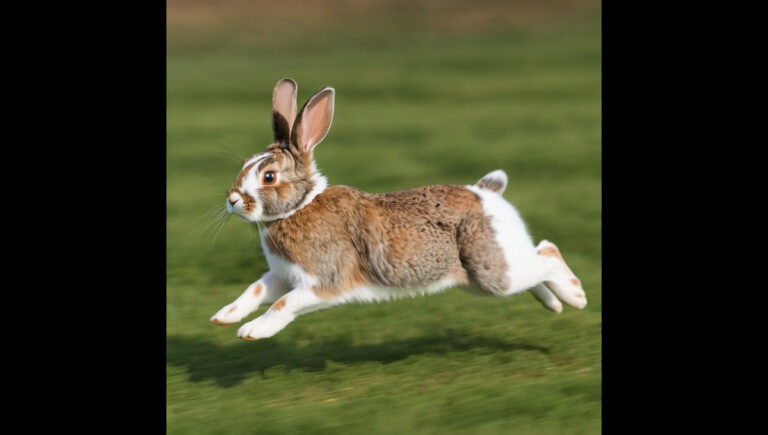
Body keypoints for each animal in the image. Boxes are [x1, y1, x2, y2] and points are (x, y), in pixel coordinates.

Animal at [210, 78, 587, 340]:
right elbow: (256, 290)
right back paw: (555, 304)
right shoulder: (283, 275)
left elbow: (282, 304)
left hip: (492, 272)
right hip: (485, 277)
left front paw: (250, 332)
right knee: (536, 265)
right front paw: (223, 316)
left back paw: (577, 298)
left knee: (548, 254)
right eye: (244, 164)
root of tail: (487, 193)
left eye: (269, 176)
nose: (232, 200)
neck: (299, 207)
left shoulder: (324, 283)